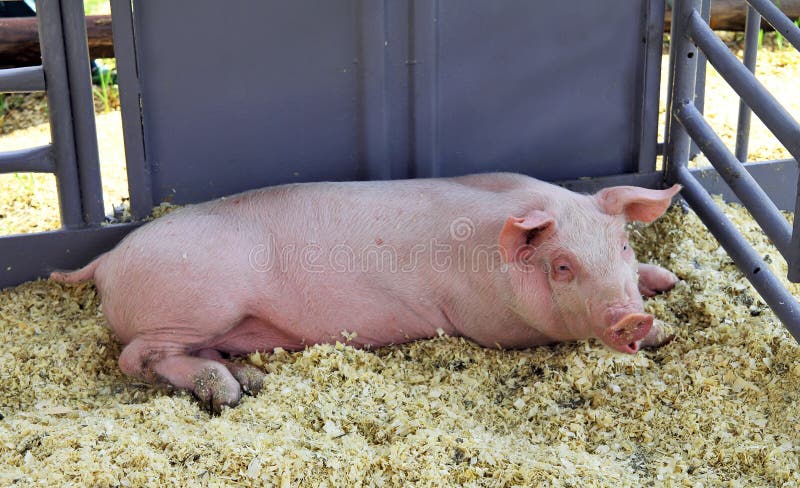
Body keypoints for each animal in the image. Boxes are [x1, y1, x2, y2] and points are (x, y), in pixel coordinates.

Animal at [51, 173, 681, 412]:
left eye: (624, 245)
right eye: (563, 266)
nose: (632, 319)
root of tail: (106, 260)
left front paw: (667, 283)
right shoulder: (490, 324)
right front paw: (664, 330)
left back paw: (250, 381)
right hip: (197, 305)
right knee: (136, 356)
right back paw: (226, 392)